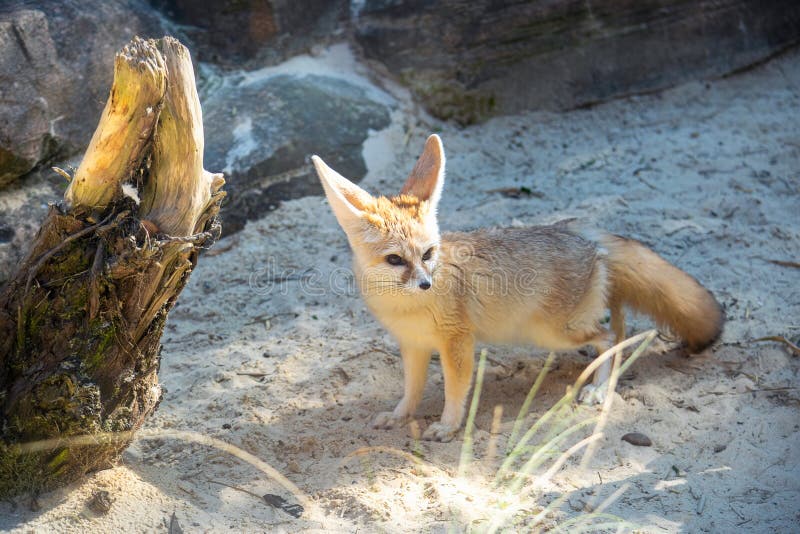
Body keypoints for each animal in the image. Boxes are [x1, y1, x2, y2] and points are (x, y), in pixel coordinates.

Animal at [311, 134, 724, 442]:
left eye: (428, 254)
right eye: (396, 260)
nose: (426, 284)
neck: (404, 306)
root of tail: (579, 229)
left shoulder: (457, 343)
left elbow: (455, 390)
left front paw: (448, 425)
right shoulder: (413, 345)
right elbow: (411, 390)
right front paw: (400, 416)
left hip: (554, 332)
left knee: (612, 336)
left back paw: (598, 389)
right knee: (617, 329)